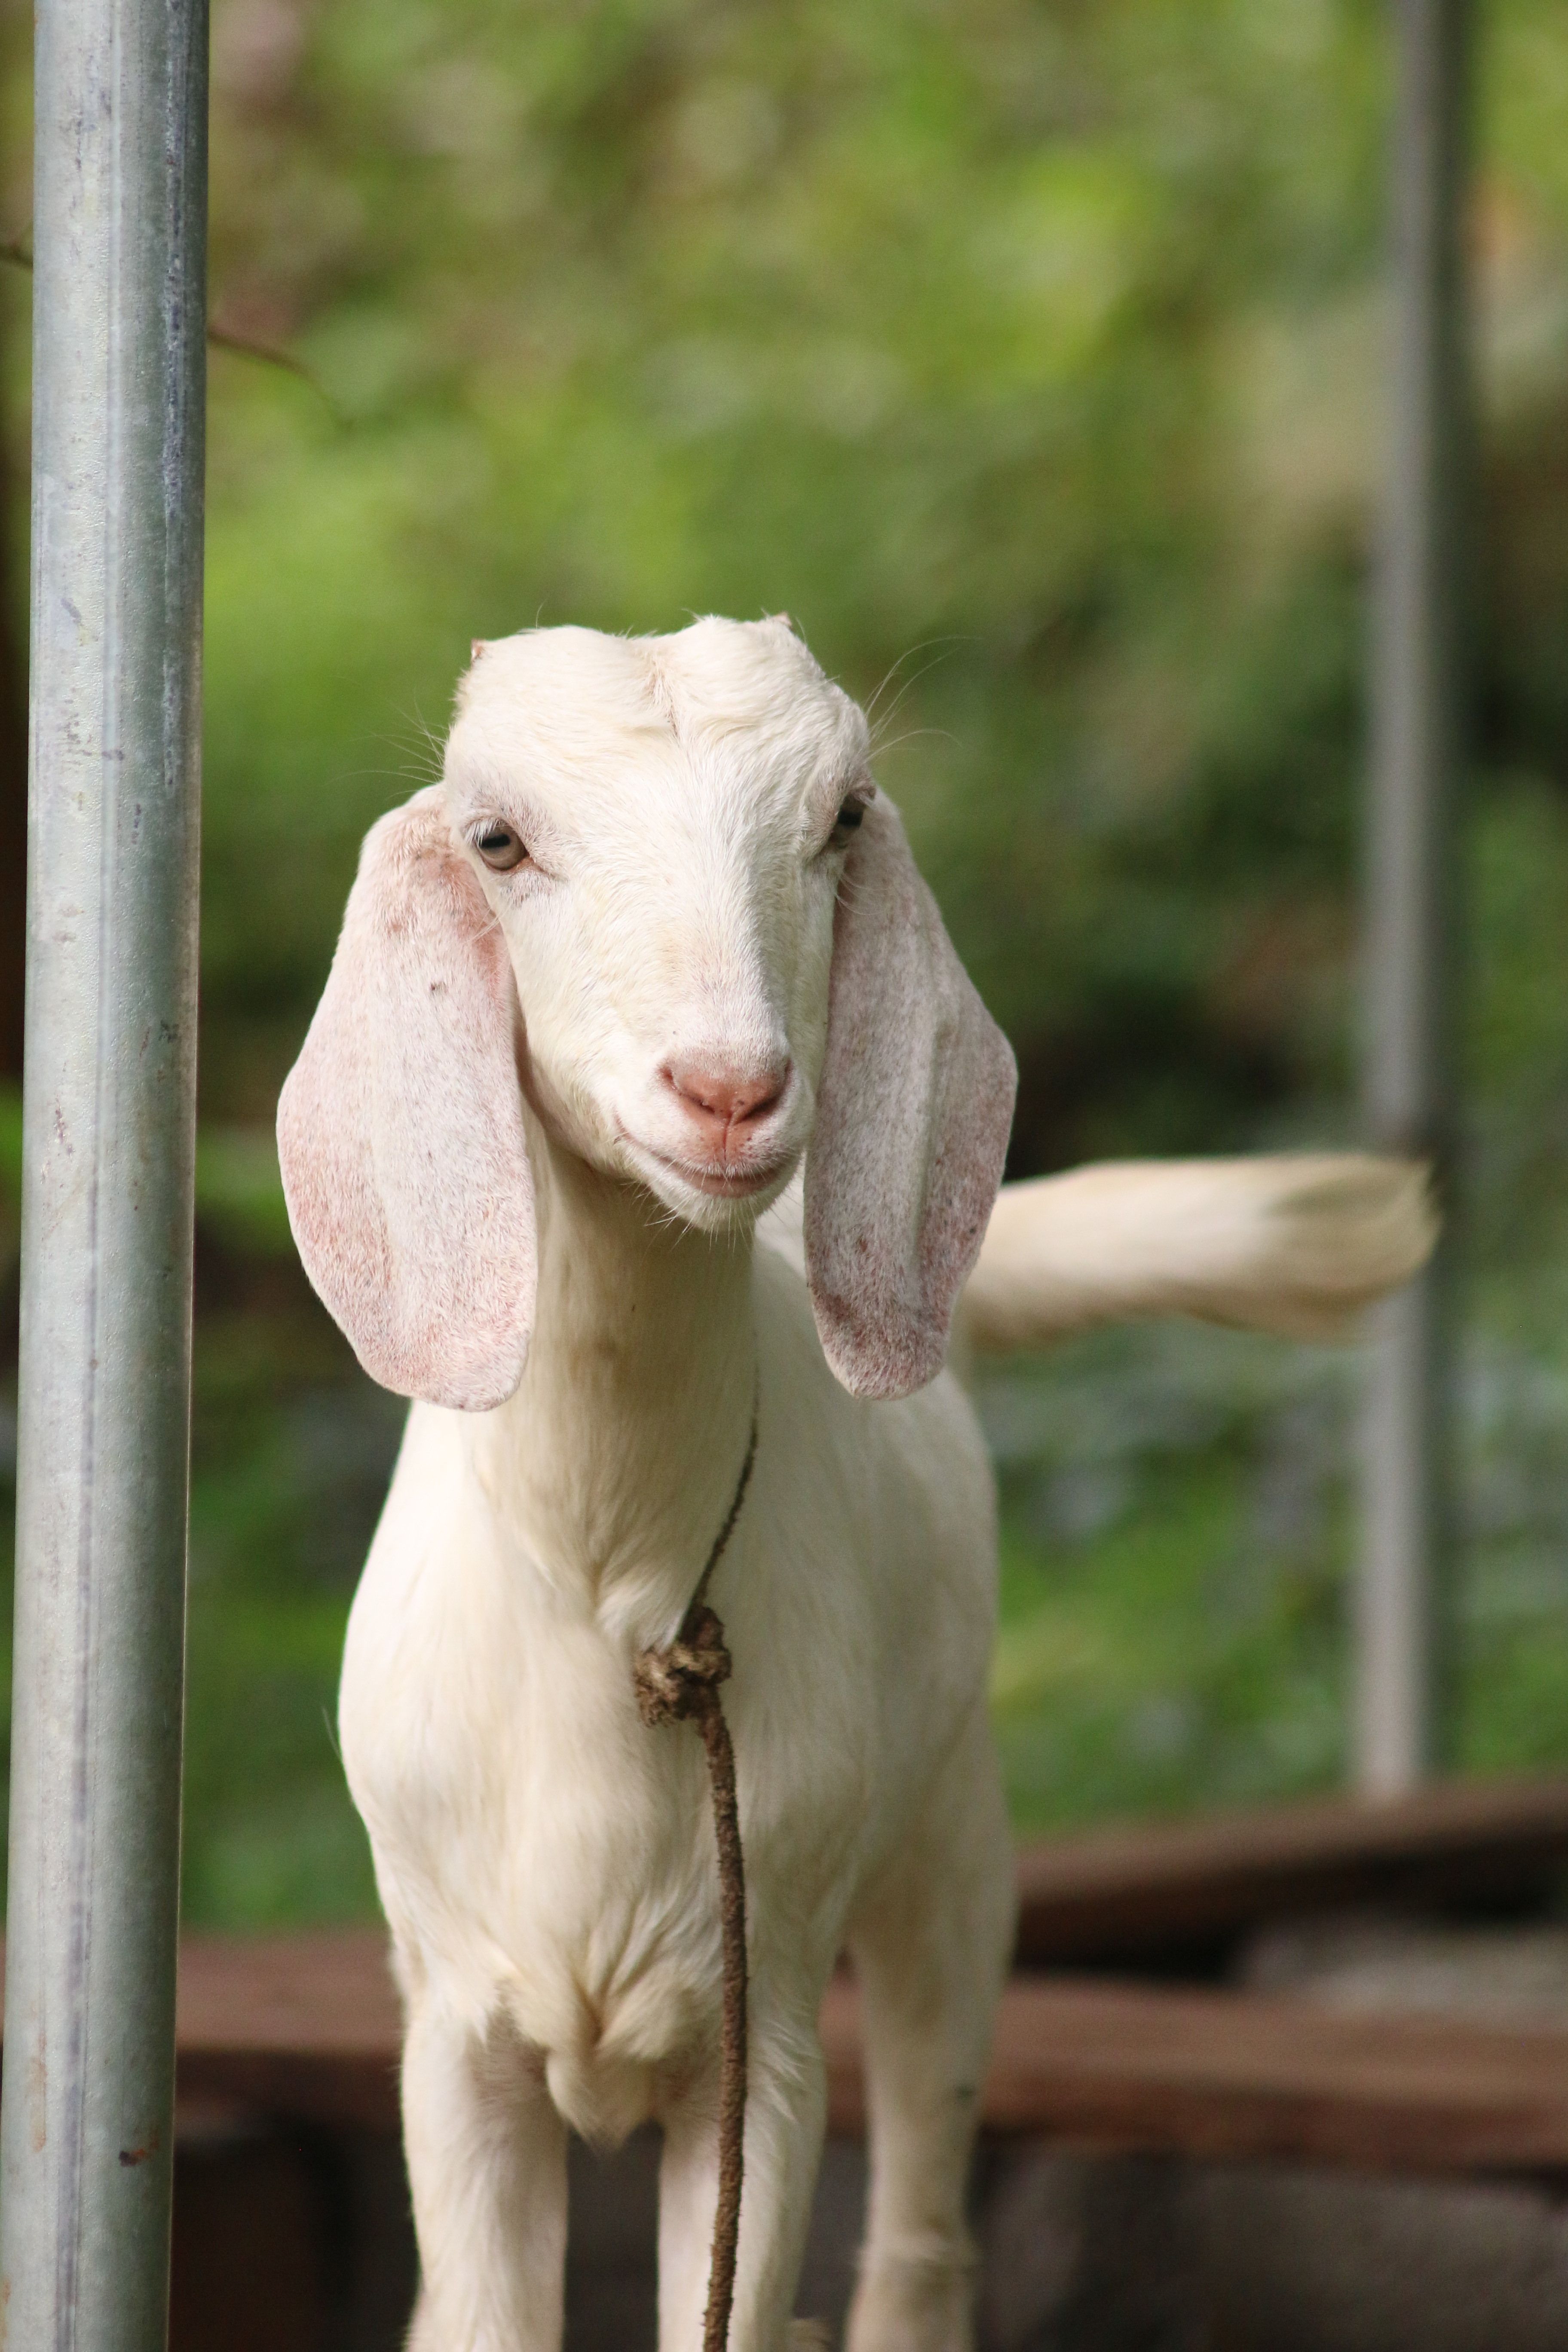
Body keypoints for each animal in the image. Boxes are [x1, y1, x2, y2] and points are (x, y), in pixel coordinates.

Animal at [278, 615, 1433, 2352]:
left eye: (837, 819)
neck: (606, 1583)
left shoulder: (759, 2038)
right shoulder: (454, 2026)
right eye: (495, 839)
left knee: (920, 2234)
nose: (728, 1091)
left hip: (952, 1852)